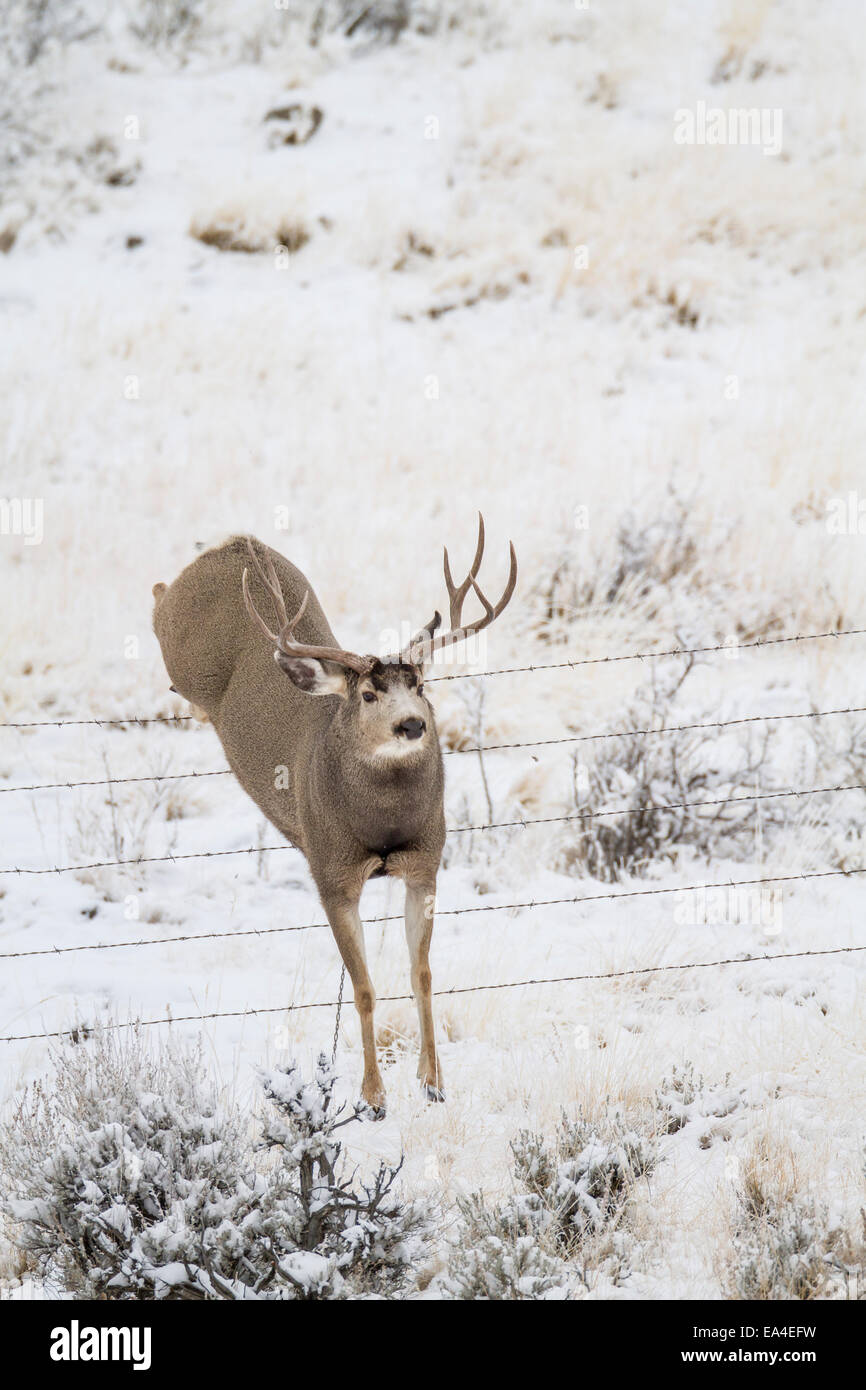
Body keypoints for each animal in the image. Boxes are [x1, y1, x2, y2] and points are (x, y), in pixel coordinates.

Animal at [151, 517, 516, 1115]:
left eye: (420, 685)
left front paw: (433, 1082)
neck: (381, 824)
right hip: (178, 645)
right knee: (158, 599)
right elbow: (364, 988)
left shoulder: (425, 863)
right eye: (367, 694)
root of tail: (235, 542)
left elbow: (422, 974)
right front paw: (372, 1097)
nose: (413, 724)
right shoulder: (331, 872)